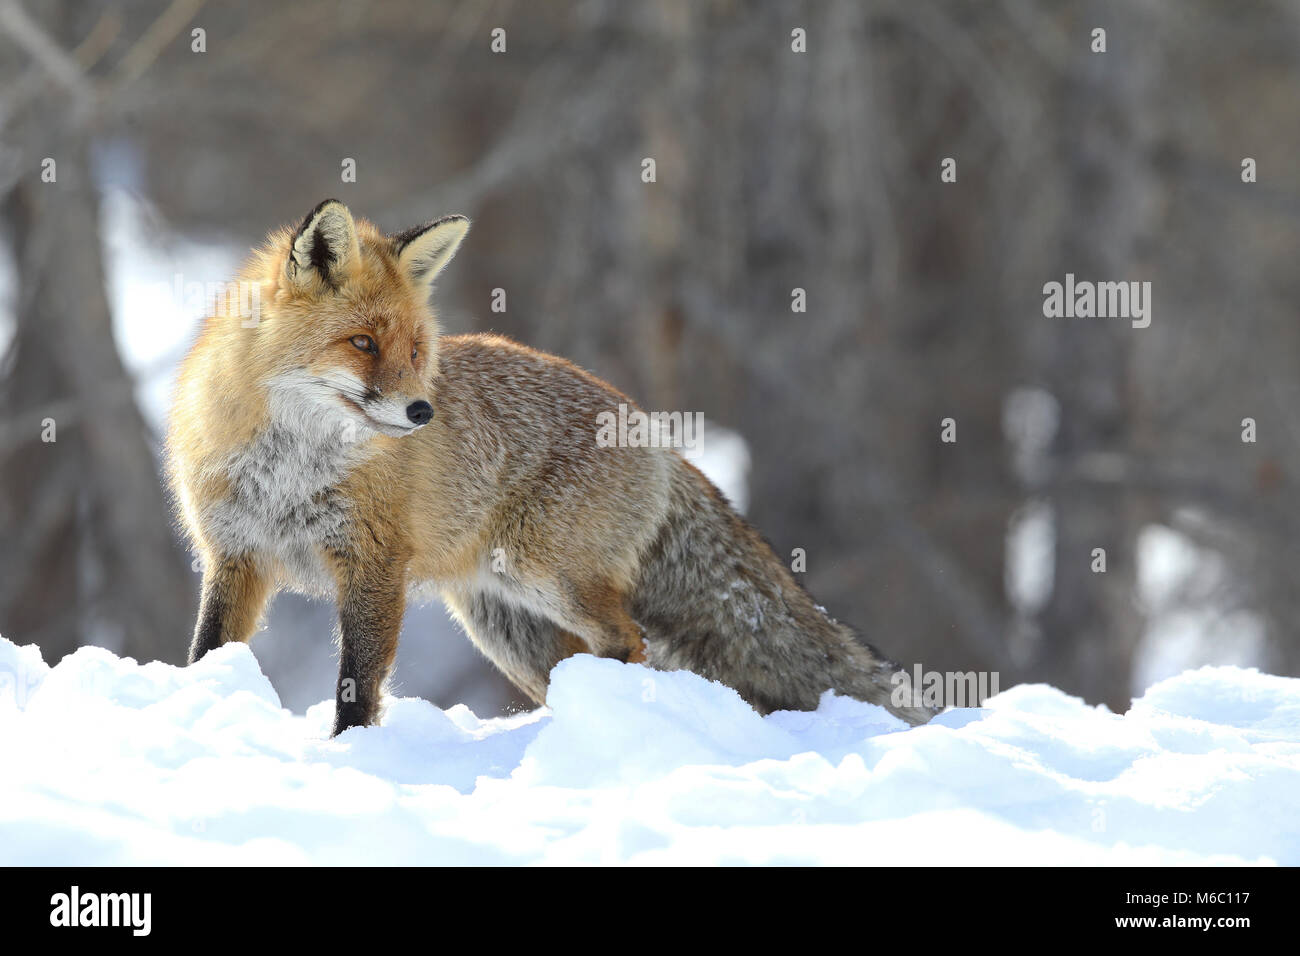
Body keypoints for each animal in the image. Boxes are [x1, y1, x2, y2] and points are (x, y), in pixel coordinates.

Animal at [167, 199, 937, 735]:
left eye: (415, 349)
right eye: (361, 343)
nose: (422, 412)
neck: (290, 466)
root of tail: (653, 427)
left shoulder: (373, 566)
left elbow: (357, 689)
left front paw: (350, 757)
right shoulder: (235, 553)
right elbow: (206, 653)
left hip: (542, 574)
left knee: (628, 639)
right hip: (507, 624)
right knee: (584, 657)